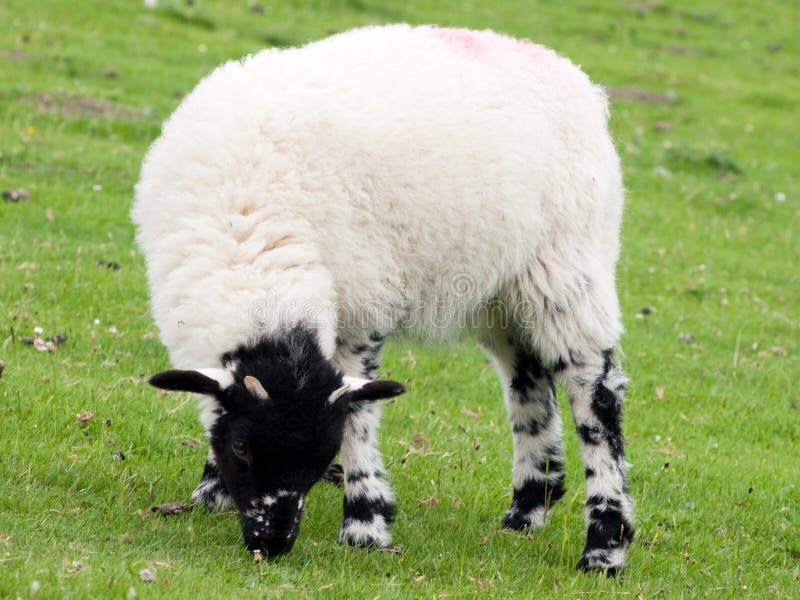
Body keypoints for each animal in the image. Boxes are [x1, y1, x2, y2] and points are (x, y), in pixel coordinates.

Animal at [133, 24, 634, 572]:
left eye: (321, 453)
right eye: (241, 446)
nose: (272, 543)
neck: (249, 235)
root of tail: (569, 74)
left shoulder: (363, 300)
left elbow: (358, 416)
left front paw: (364, 525)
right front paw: (211, 492)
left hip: (566, 265)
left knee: (595, 391)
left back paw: (605, 545)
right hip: (501, 290)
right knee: (529, 382)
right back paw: (526, 512)